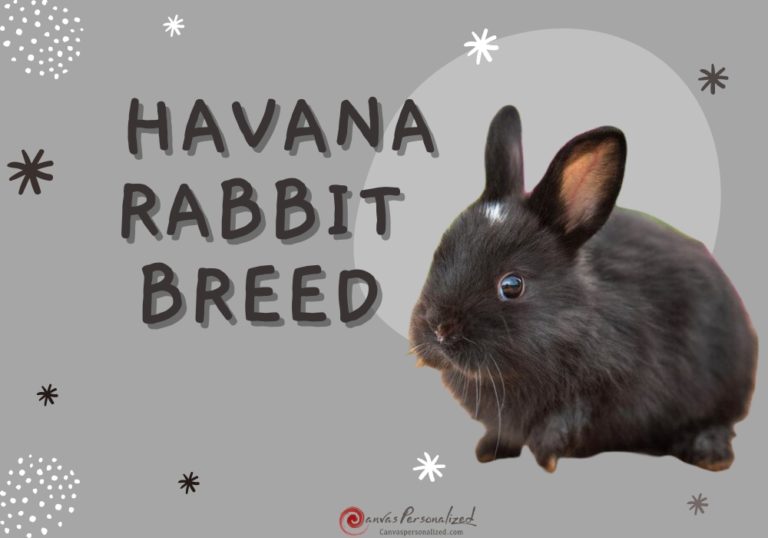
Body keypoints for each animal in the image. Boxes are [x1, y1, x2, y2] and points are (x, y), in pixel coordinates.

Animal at [408, 105, 757, 472]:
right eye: (439, 255)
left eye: (512, 286)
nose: (440, 329)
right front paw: (488, 451)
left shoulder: (602, 387)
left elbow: (564, 421)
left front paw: (547, 456)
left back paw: (710, 454)